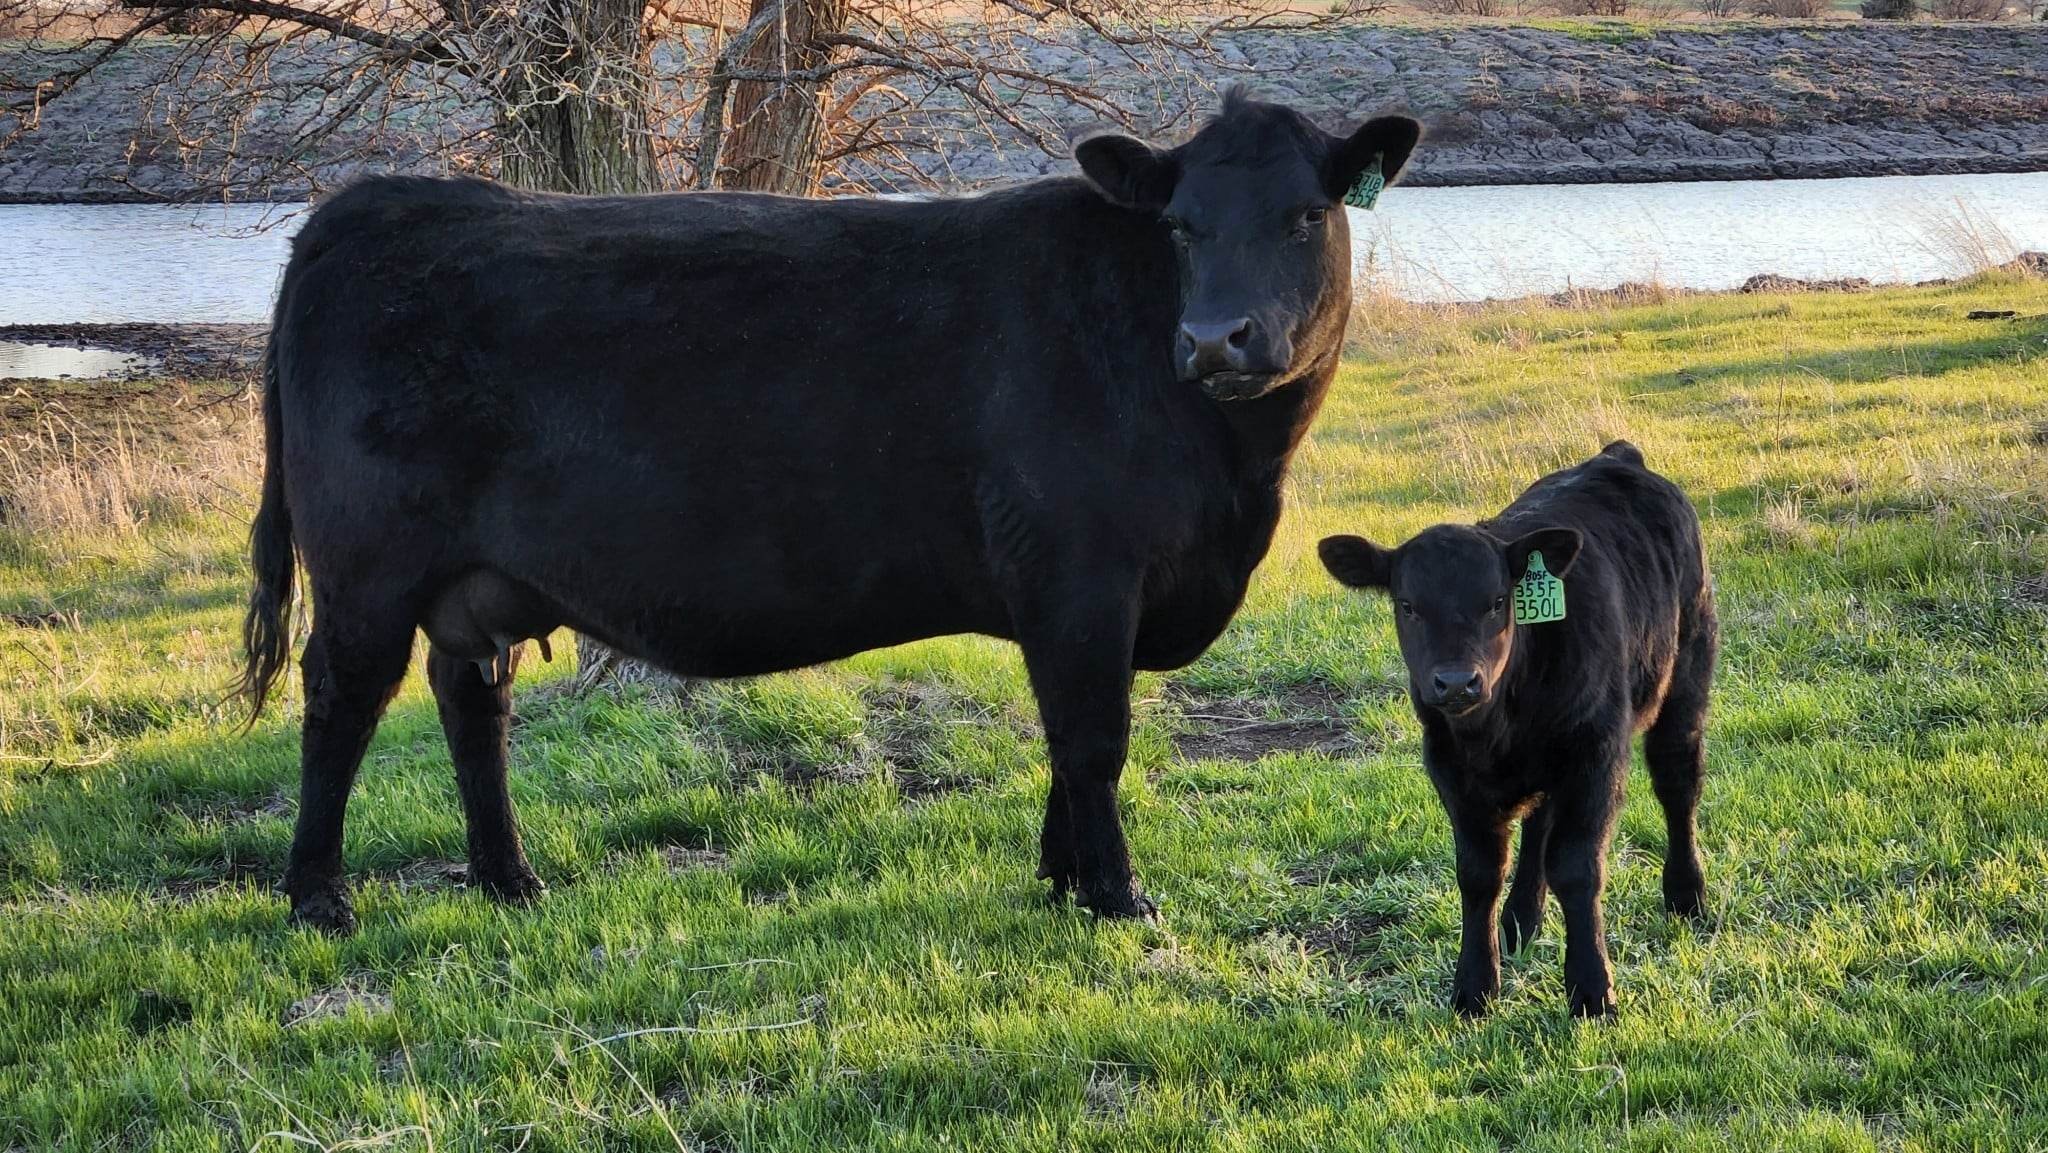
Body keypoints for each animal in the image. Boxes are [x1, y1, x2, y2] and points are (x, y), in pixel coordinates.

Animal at [236, 89, 1424, 934]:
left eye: (1306, 213)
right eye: (1180, 226)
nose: (1218, 339)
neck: (1233, 478)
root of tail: (369, 205)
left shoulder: (1092, 597)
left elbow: (1062, 737)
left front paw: (1059, 877)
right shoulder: (1082, 573)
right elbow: (1093, 738)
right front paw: (1116, 895)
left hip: (474, 580)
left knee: (470, 700)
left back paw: (508, 878)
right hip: (368, 569)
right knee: (340, 701)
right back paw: (319, 898)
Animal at [1317, 441, 1716, 1016]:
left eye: (1498, 602)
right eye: (1407, 605)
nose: (1456, 682)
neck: (1497, 728)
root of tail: (1617, 456)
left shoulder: (1596, 753)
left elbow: (1577, 866)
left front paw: (1592, 989)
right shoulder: (1449, 767)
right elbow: (1479, 872)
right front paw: (1475, 984)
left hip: (1685, 673)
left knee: (1677, 782)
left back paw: (1687, 894)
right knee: (1539, 821)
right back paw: (1519, 922)